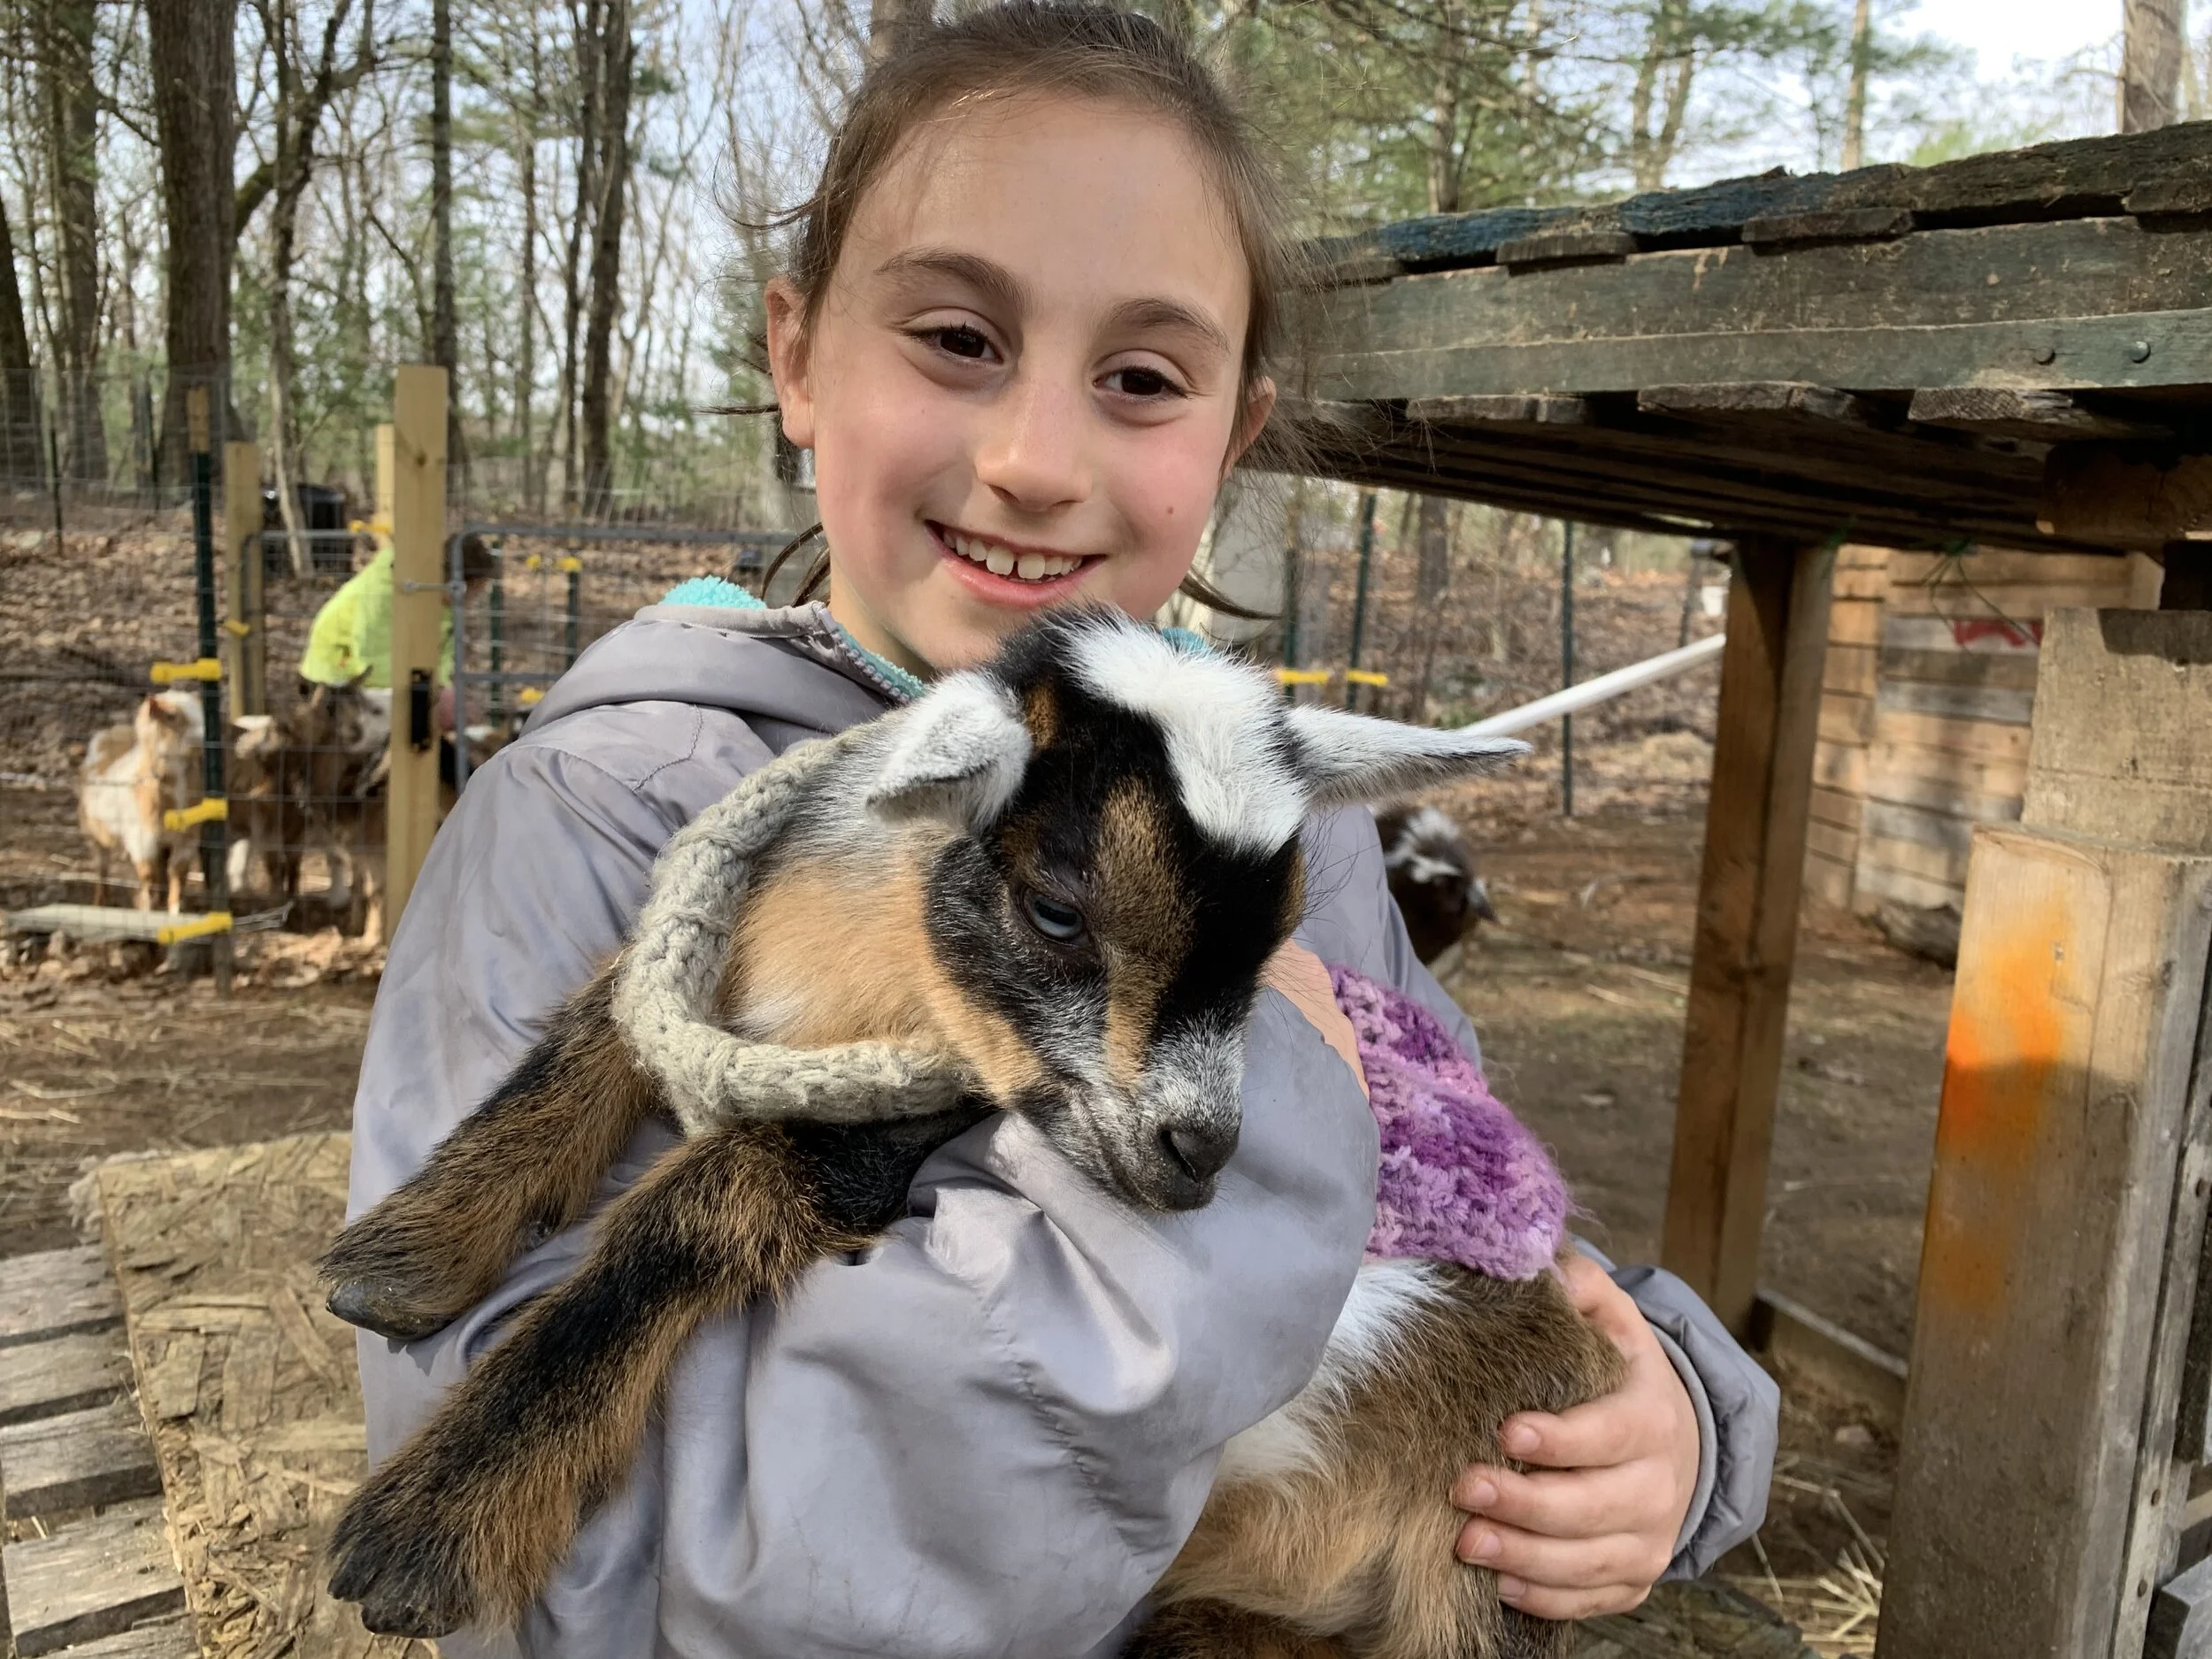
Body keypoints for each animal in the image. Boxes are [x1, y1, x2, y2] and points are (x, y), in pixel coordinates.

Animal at [77, 690, 204, 911]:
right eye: (171, 716)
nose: (205, 736)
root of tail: (114, 731)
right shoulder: (142, 838)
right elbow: (148, 875)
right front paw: (147, 908)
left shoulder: (187, 837)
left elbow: (178, 873)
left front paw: (175, 909)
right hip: (94, 834)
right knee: (103, 870)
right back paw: (101, 903)